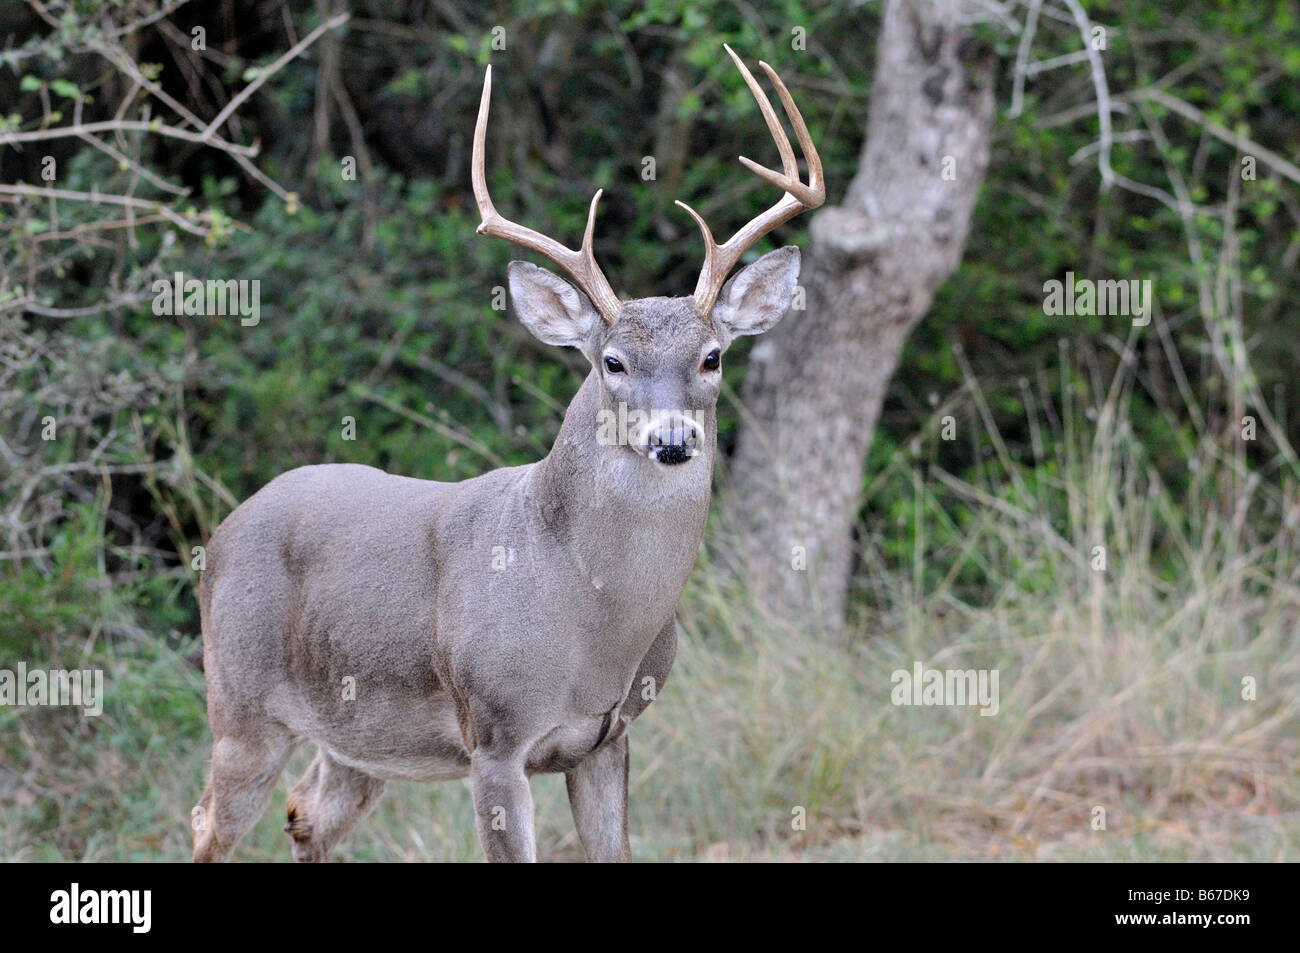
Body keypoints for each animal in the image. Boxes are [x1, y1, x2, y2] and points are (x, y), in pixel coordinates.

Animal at [192, 45, 823, 864]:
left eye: (712, 356)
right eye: (612, 362)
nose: (672, 439)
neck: (591, 618)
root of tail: (224, 529)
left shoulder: (606, 739)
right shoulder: (493, 733)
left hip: (359, 735)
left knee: (306, 811)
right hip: (239, 704)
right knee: (209, 819)